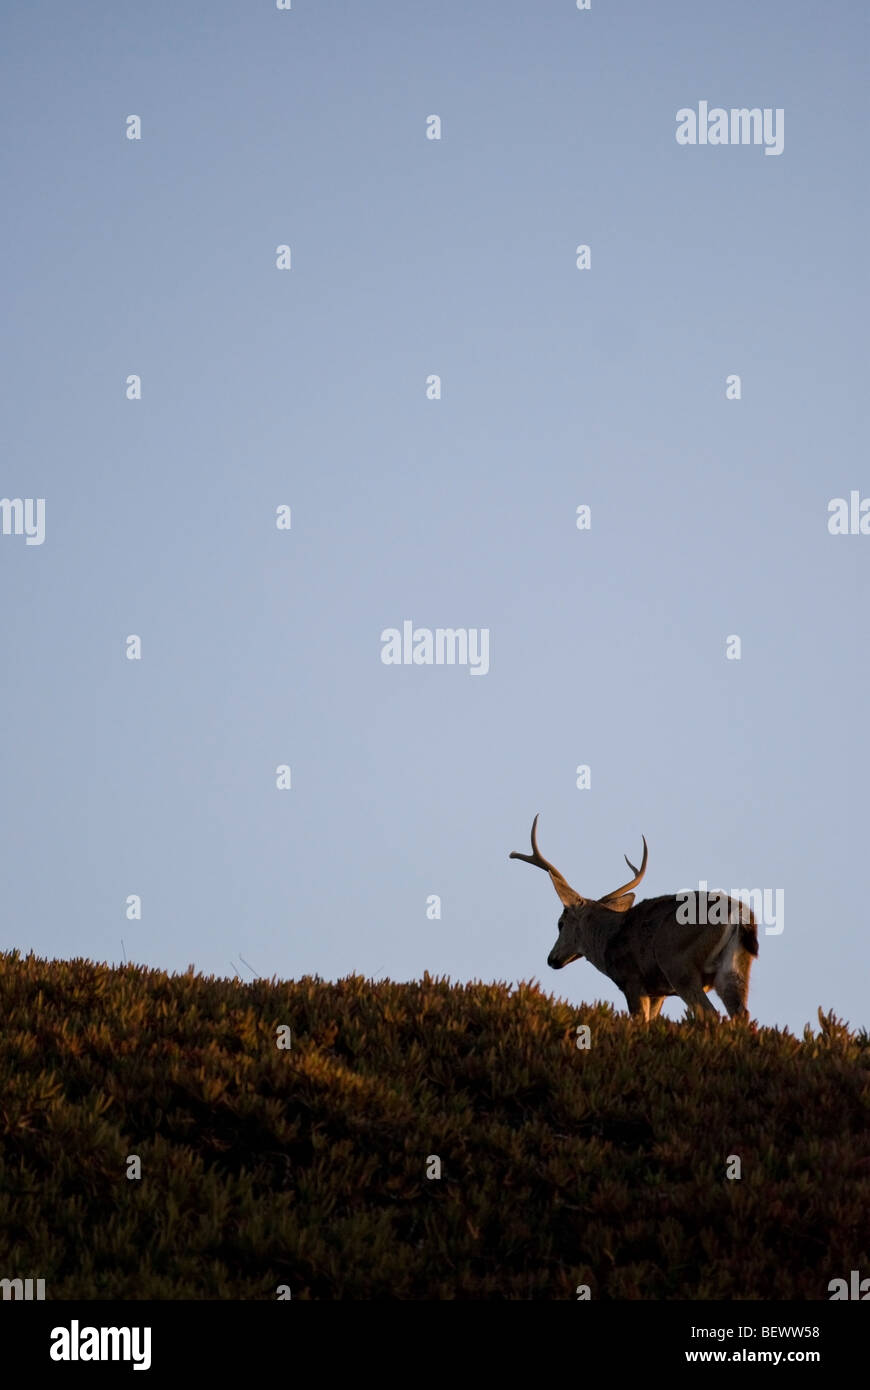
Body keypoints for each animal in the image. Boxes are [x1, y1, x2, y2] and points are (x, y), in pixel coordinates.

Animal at [510, 815, 758, 1022]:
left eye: (560, 924)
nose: (551, 959)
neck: (609, 938)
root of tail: (739, 913)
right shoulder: (658, 992)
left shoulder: (632, 979)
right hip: (735, 967)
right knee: (740, 1013)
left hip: (678, 965)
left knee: (709, 1013)